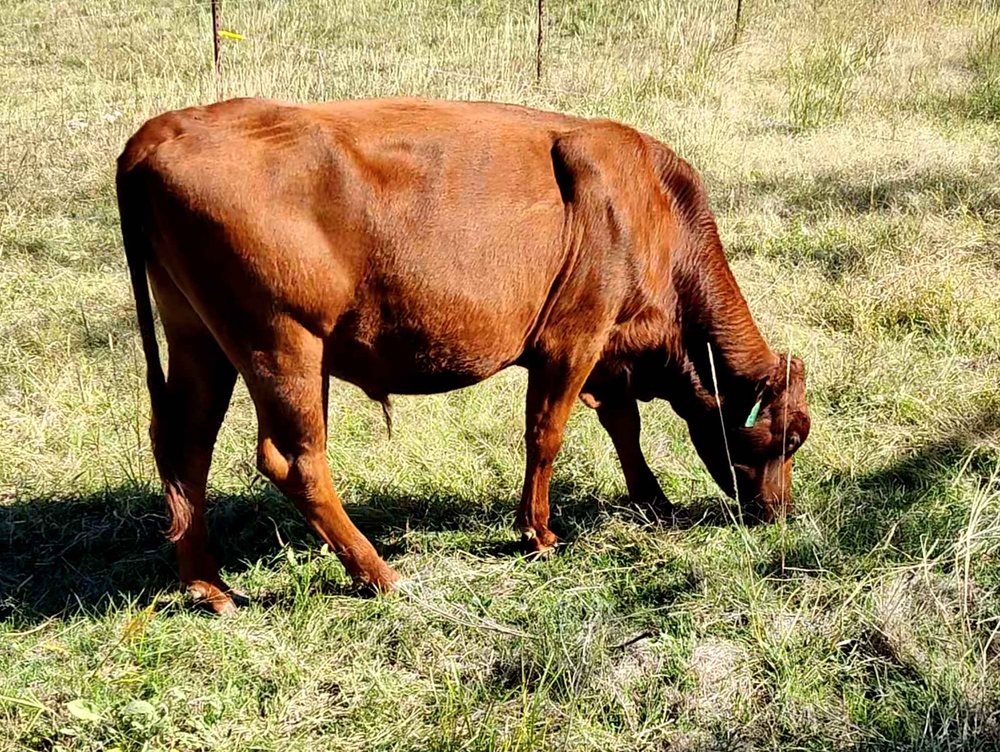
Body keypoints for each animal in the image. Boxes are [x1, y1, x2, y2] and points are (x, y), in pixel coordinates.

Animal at [116, 98, 810, 613]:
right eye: (785, 437)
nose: (778, 513)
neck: (649, 204)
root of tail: (162, 130)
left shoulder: (610, 349)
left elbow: (624, 426)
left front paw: (653, 501)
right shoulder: (575, 337)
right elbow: (546, 434)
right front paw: (540, 532)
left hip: (199, 337)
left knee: (185, 446)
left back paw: (208, 585)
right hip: (281, 342)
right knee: (294, 461)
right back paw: (379, 573)